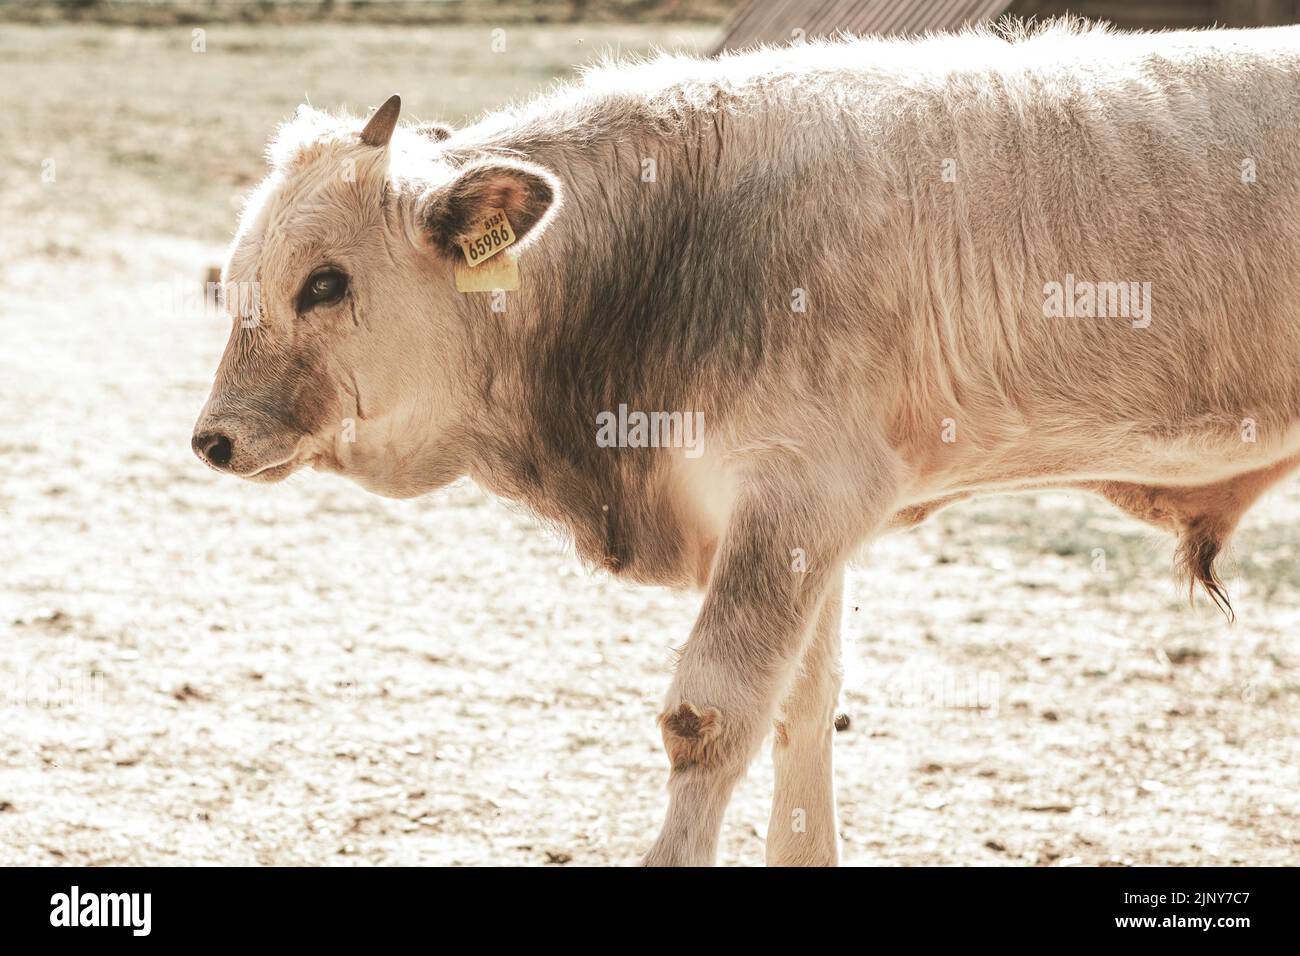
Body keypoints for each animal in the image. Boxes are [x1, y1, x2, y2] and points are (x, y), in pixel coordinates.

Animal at [193, 20, 1300, 865]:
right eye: (236, 278)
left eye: (325, 281)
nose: (215, 438)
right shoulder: (806, 527)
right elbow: (803, 705)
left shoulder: (798, 494)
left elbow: (712, 715)